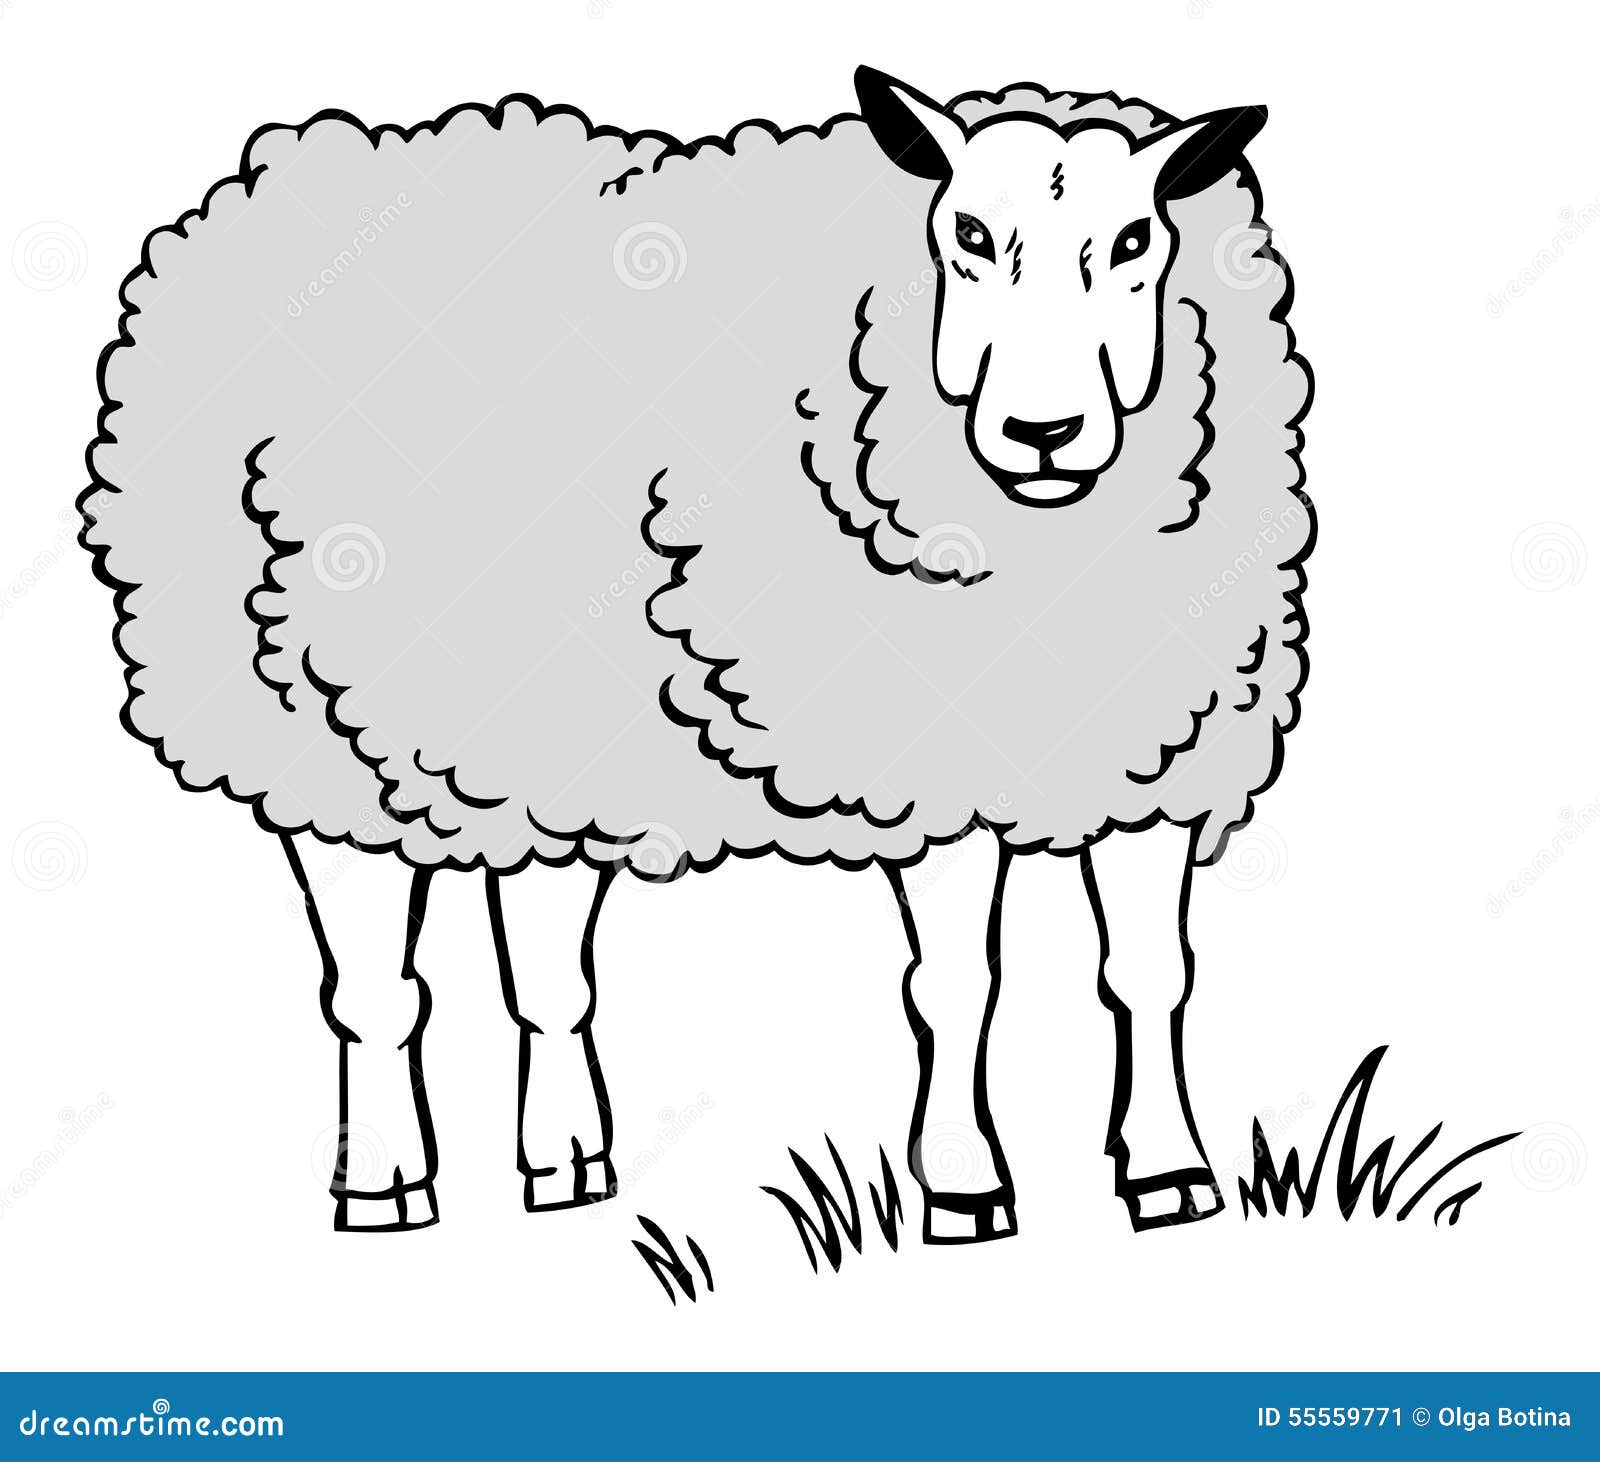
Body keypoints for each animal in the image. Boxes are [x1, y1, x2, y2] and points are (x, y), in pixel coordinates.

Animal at [80, 68, 1312, 1240]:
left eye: (1136, 239)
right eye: (964, 233)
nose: (1042, 433)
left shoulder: (1159, 753)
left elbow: (1149, 975)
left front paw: (1172, 1175)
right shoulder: (921, 773)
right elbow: (959, 987)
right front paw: (965, 1191)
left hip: (534, 768)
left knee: (546, 980)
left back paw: (566, 1166)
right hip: (314, 754)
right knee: (377, 993)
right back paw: (387, 1186)